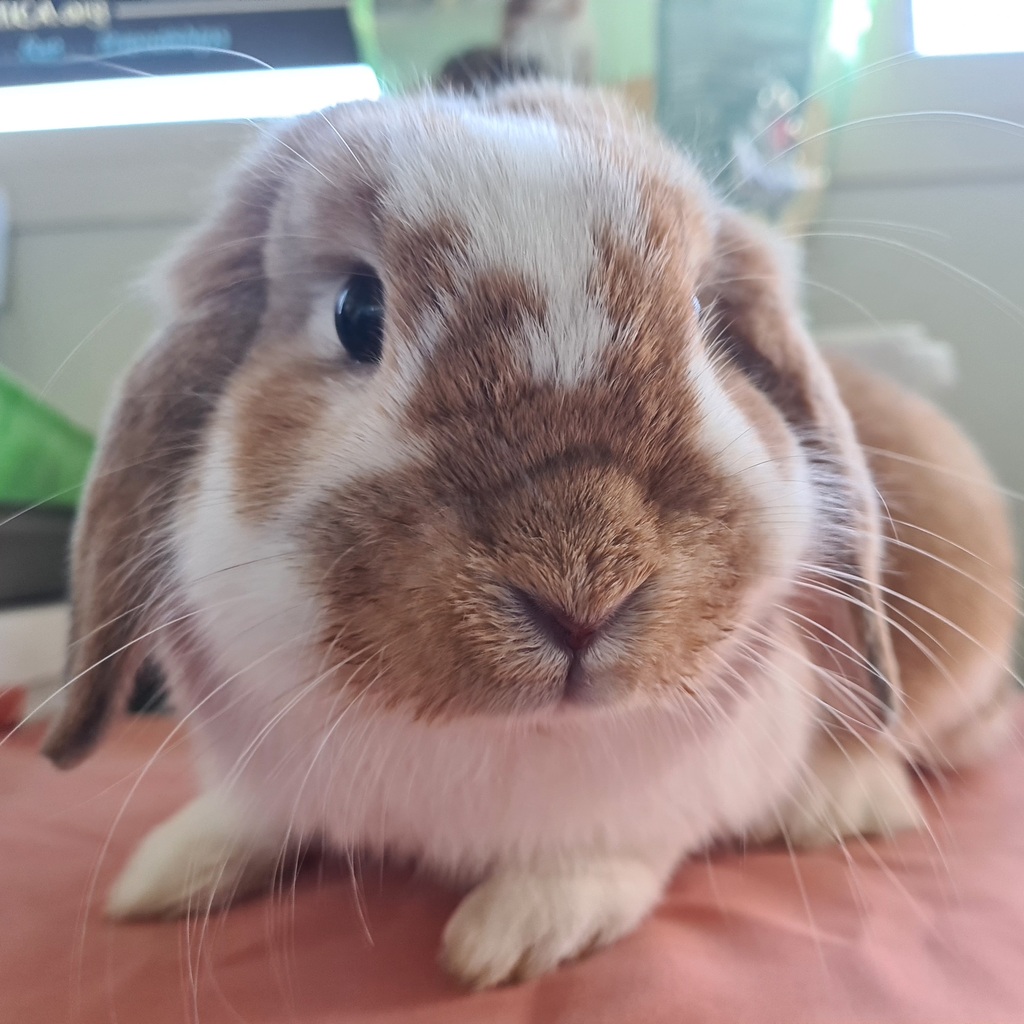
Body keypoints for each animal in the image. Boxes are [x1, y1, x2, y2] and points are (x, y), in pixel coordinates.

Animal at [42, 81, 1018, 989]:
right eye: (357, 312)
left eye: (709, 322)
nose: (581, 591)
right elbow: (252, 815)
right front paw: (167, 871)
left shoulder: (670, 798)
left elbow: (608, 857)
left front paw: (517, 931)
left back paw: (834, 799)